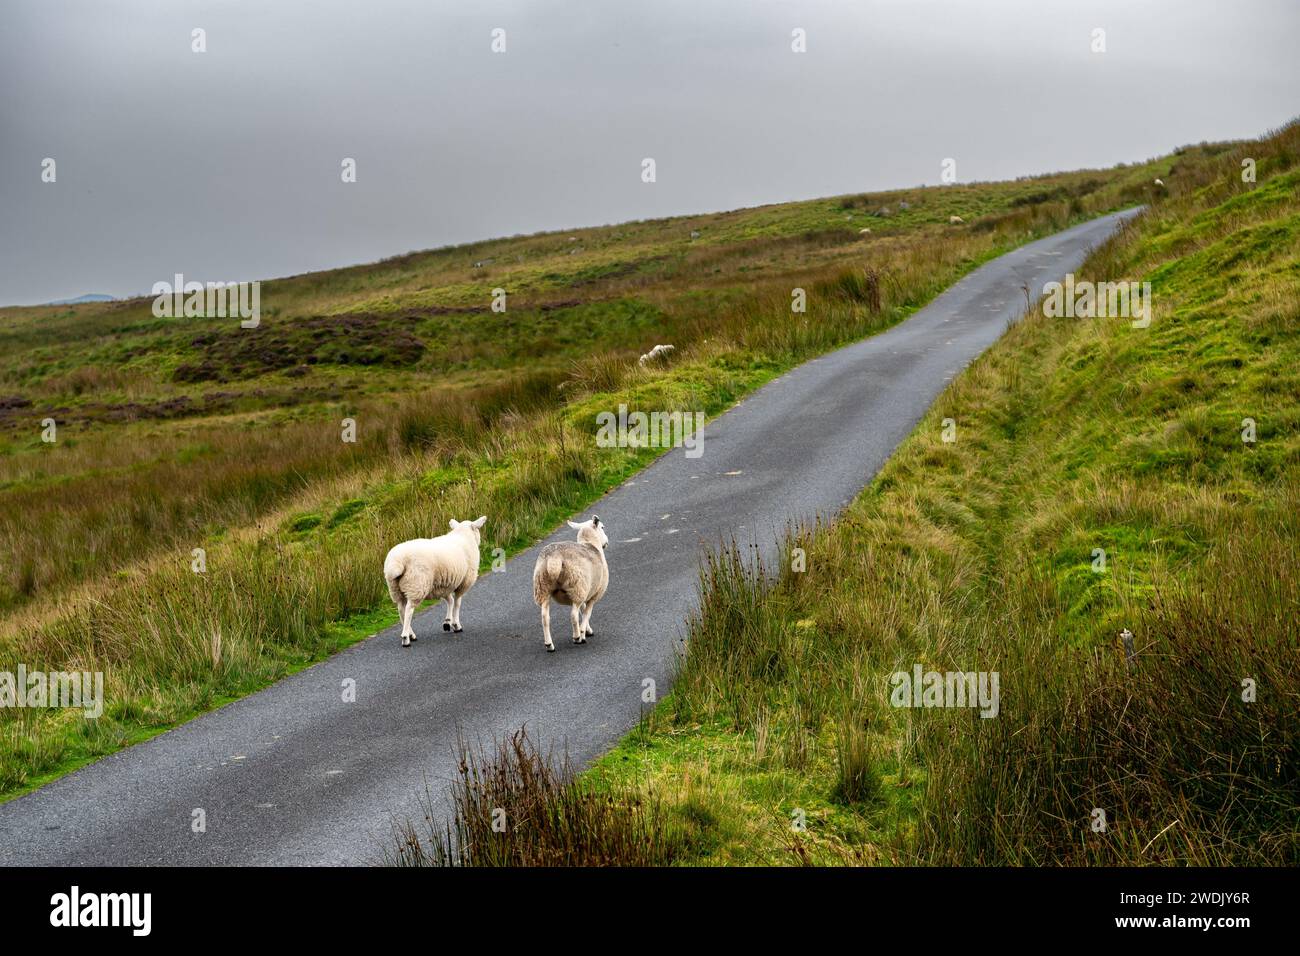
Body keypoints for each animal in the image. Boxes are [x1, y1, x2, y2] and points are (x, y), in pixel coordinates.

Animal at [383, 515, 486, 648]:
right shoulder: (463, 582)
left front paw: (447, 622)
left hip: (396, 589)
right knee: (409, 610)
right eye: (477, 529)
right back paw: (406, 638)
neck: (463, 535)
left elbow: (450, 601)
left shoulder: (443, 585)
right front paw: (456, 625)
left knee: (401, 610)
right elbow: (457, 603)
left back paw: (411, 634)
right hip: (417, 585)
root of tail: (397, 561)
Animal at [532, 516, 609, 652]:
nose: (607, 542)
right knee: (573, 615)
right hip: (577, 586)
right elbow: (587, 613)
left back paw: (549, 645)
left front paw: (588, 630)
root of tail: (554, 558)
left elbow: (583, 611)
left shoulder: (586, 591)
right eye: (602, 527)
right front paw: (583, 632)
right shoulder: (593, 594)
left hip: (543, 588)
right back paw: (577, 637)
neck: (590, 543)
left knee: (545, 617)